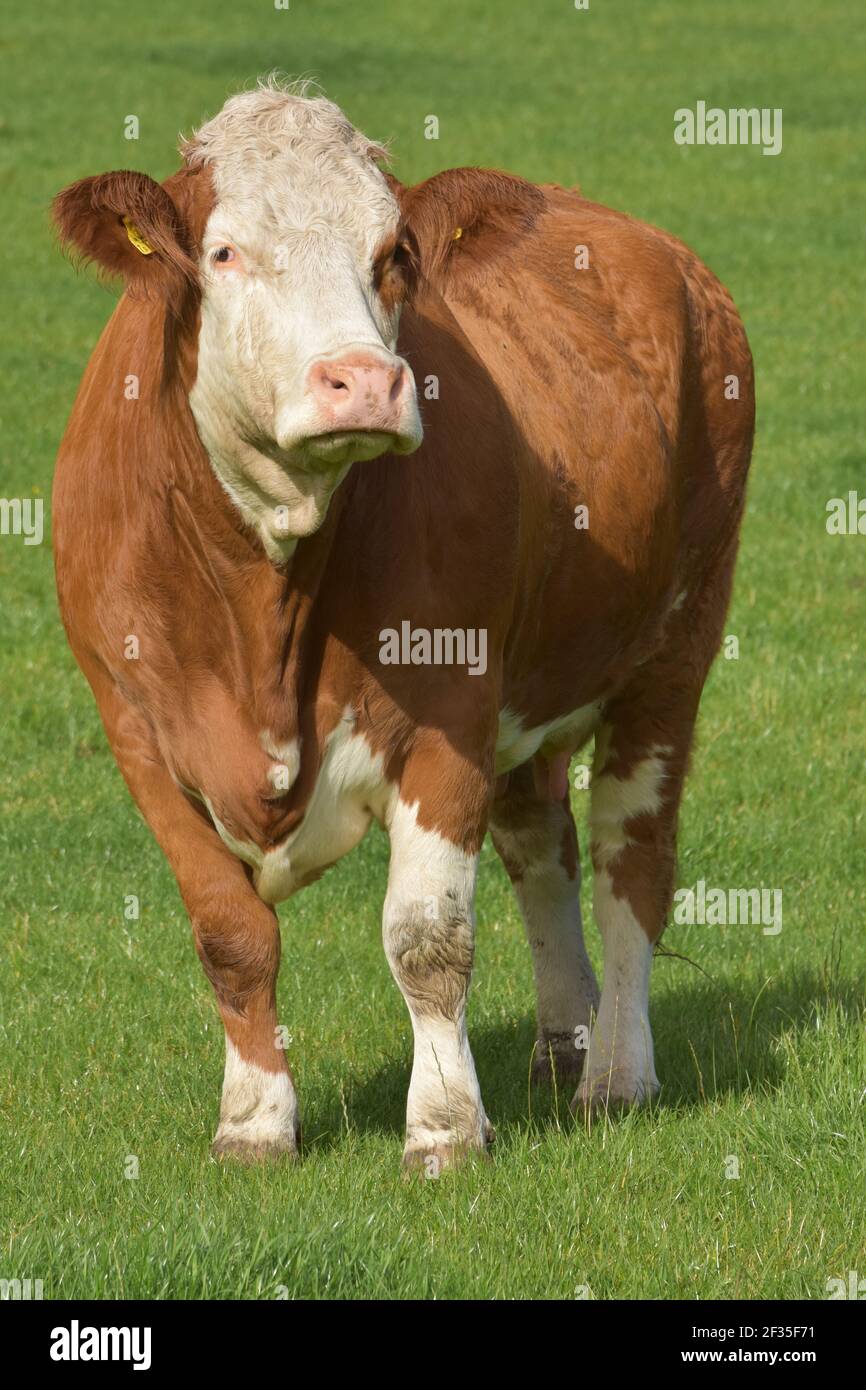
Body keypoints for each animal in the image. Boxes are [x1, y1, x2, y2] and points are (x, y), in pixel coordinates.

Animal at [51, 78, 754, 1168]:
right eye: (224, 252)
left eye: (392, 255)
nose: (364, 380)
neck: (261, 598)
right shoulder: (134, 727)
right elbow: (229, 934)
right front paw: (253, 1122)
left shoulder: (448, 707)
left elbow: (426, 936)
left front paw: (445, 1126)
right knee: (540, 846)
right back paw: (564, 1038)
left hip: (671, 656)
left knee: (628, 859)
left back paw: (614, 1072)